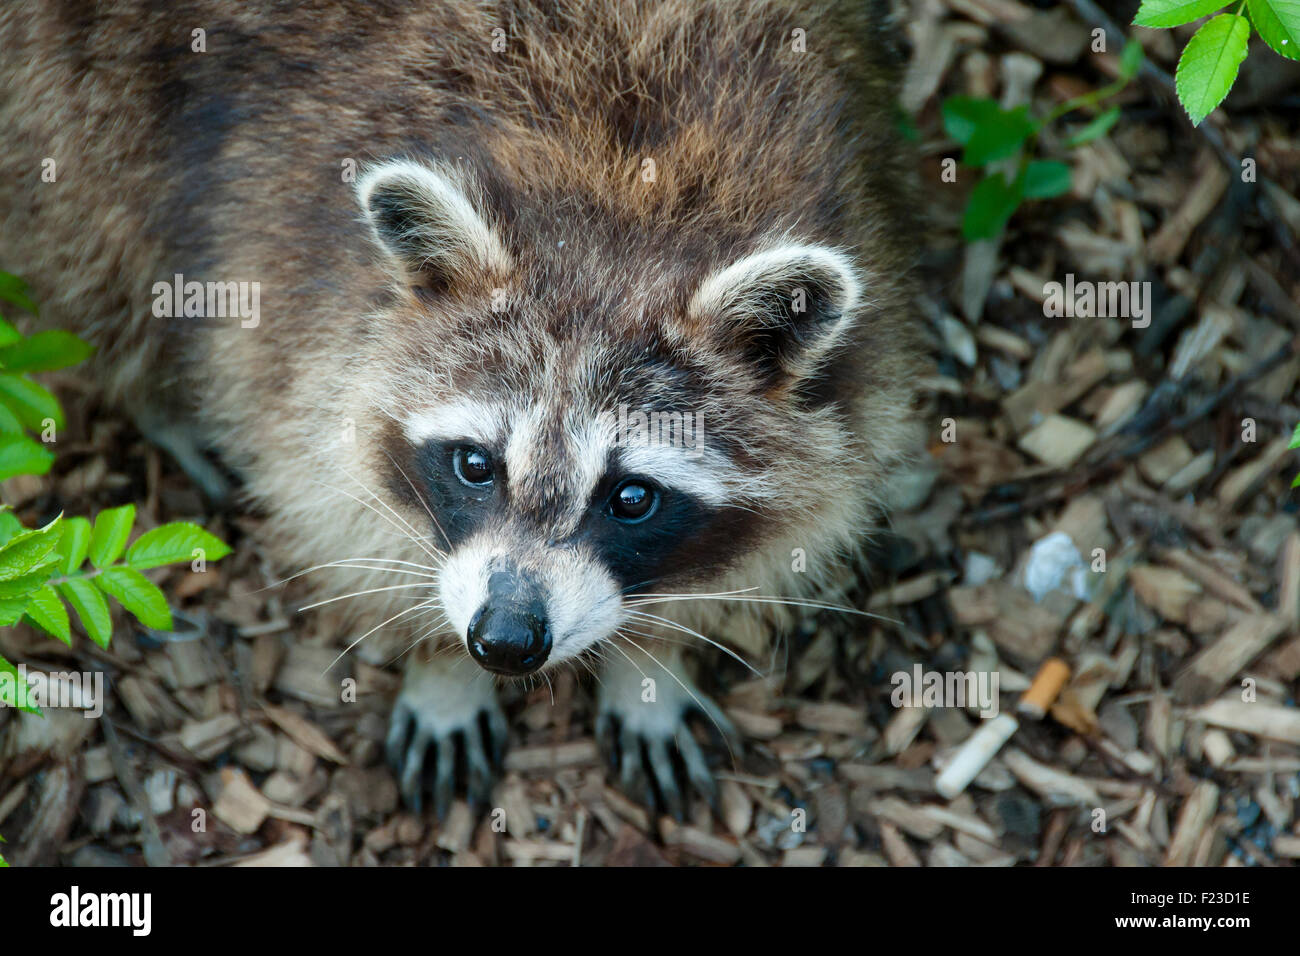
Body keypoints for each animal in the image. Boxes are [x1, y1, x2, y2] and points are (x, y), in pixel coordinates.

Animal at [0, 0, 923, 817]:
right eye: (475, 463)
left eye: (632, 497)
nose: (504, 640)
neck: (623, 205)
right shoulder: (301, 309)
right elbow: (338, 502)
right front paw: (440, 663)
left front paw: (653, 666)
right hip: (75, 84)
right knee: (98, 232)